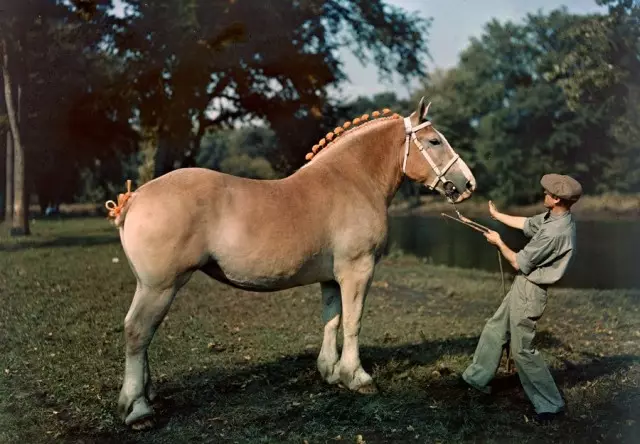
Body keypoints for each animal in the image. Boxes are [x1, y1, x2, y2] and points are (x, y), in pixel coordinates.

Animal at [106, 96, 476, 426]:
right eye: (434, 141)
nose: (468, 183)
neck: (352, 180)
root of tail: (134, 197)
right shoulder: (358, 271)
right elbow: (353, 322)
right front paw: (357, 377)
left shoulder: (332, 277)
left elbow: (331, 320)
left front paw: (330, 372)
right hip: (160, 287)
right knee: (137, 331)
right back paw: (138, 410)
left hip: (148, 287)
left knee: (142, 334)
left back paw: (146, 396)